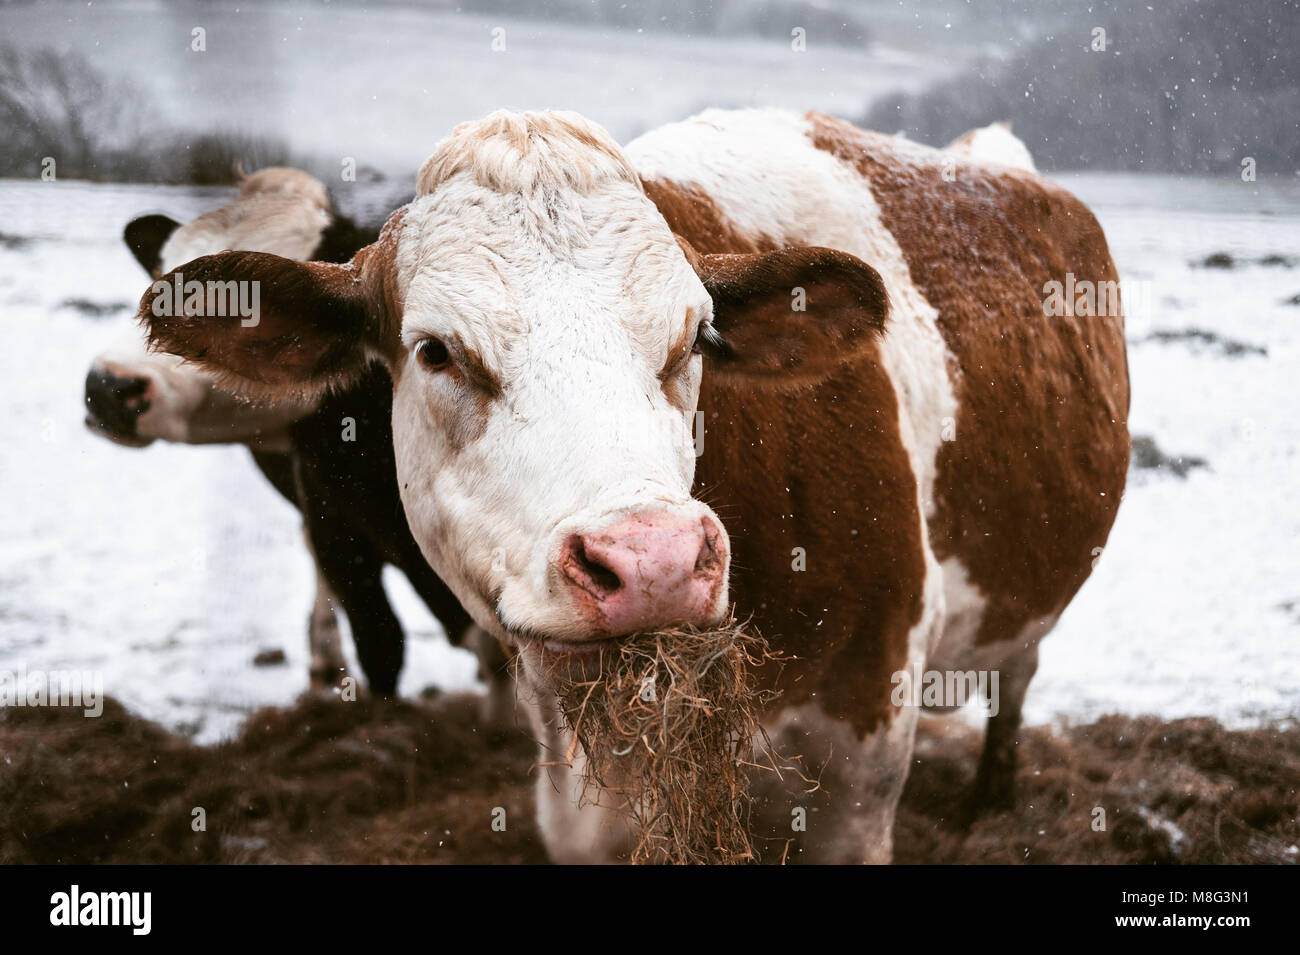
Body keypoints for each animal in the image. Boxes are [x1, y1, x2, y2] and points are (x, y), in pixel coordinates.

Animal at [134, 109, 1130, 863]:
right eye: (435, 351)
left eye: (695, 336)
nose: (653, 558)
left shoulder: (862, 768)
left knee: (1017, 685)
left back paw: (992, 798)